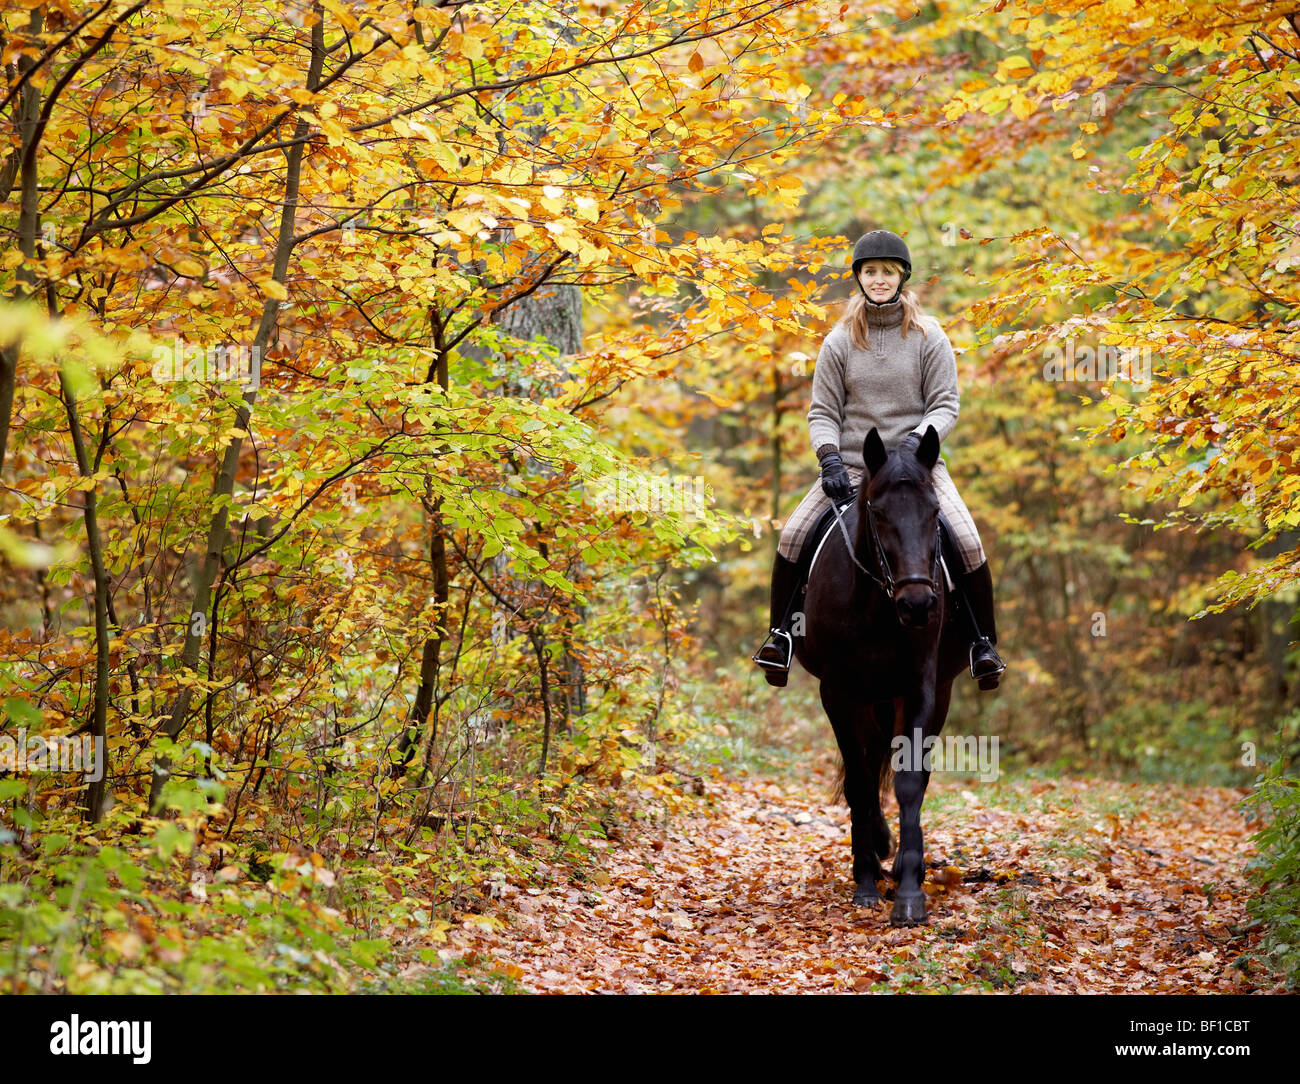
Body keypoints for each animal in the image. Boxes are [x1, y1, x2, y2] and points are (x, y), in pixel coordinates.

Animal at [792, 424, 970, 926]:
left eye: (934, 513)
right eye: (878, 512)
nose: (918, 605)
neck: (879, 606)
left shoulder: (920, 688)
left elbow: (909, 781)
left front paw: (909, 891)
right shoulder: (838, 692)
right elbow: (858, 779)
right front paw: (866, 880)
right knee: (869, 765)